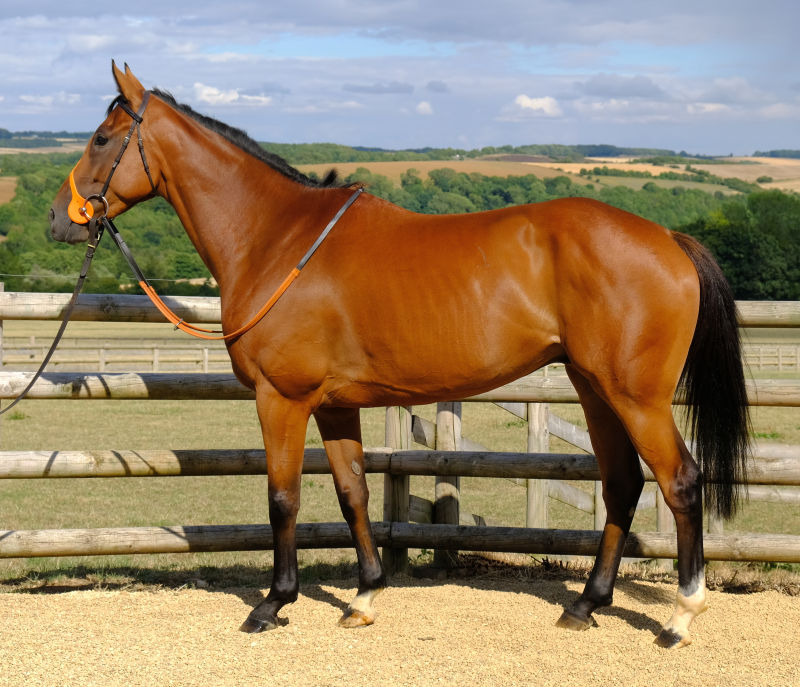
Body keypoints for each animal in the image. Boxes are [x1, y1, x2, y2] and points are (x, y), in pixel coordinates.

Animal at [49, 63, 749, 648]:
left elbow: (283, 498)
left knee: (680, 482)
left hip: (636, 397)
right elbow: (352, 492)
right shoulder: (332, 406)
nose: (61, 218)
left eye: (103, 140)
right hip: (593, 386)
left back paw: (681, 618)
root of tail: (668, 237)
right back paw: (585, 605)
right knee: (623, 482)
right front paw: (363, 597)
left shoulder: (282, 399)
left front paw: (274, 604)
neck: (278, 239)